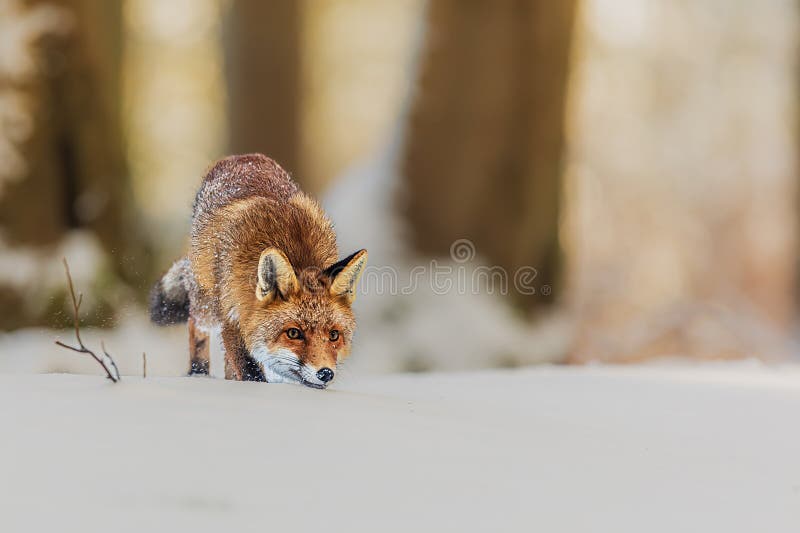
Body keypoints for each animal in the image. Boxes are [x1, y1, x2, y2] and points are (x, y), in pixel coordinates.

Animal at [148, 153, 367, 388]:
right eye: (294, 333)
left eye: (334, 335)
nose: (325, 373)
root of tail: (244, 157)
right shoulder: (232, 317)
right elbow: (249, 369)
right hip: (207, 305)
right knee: (194, 322)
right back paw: (199, 372)